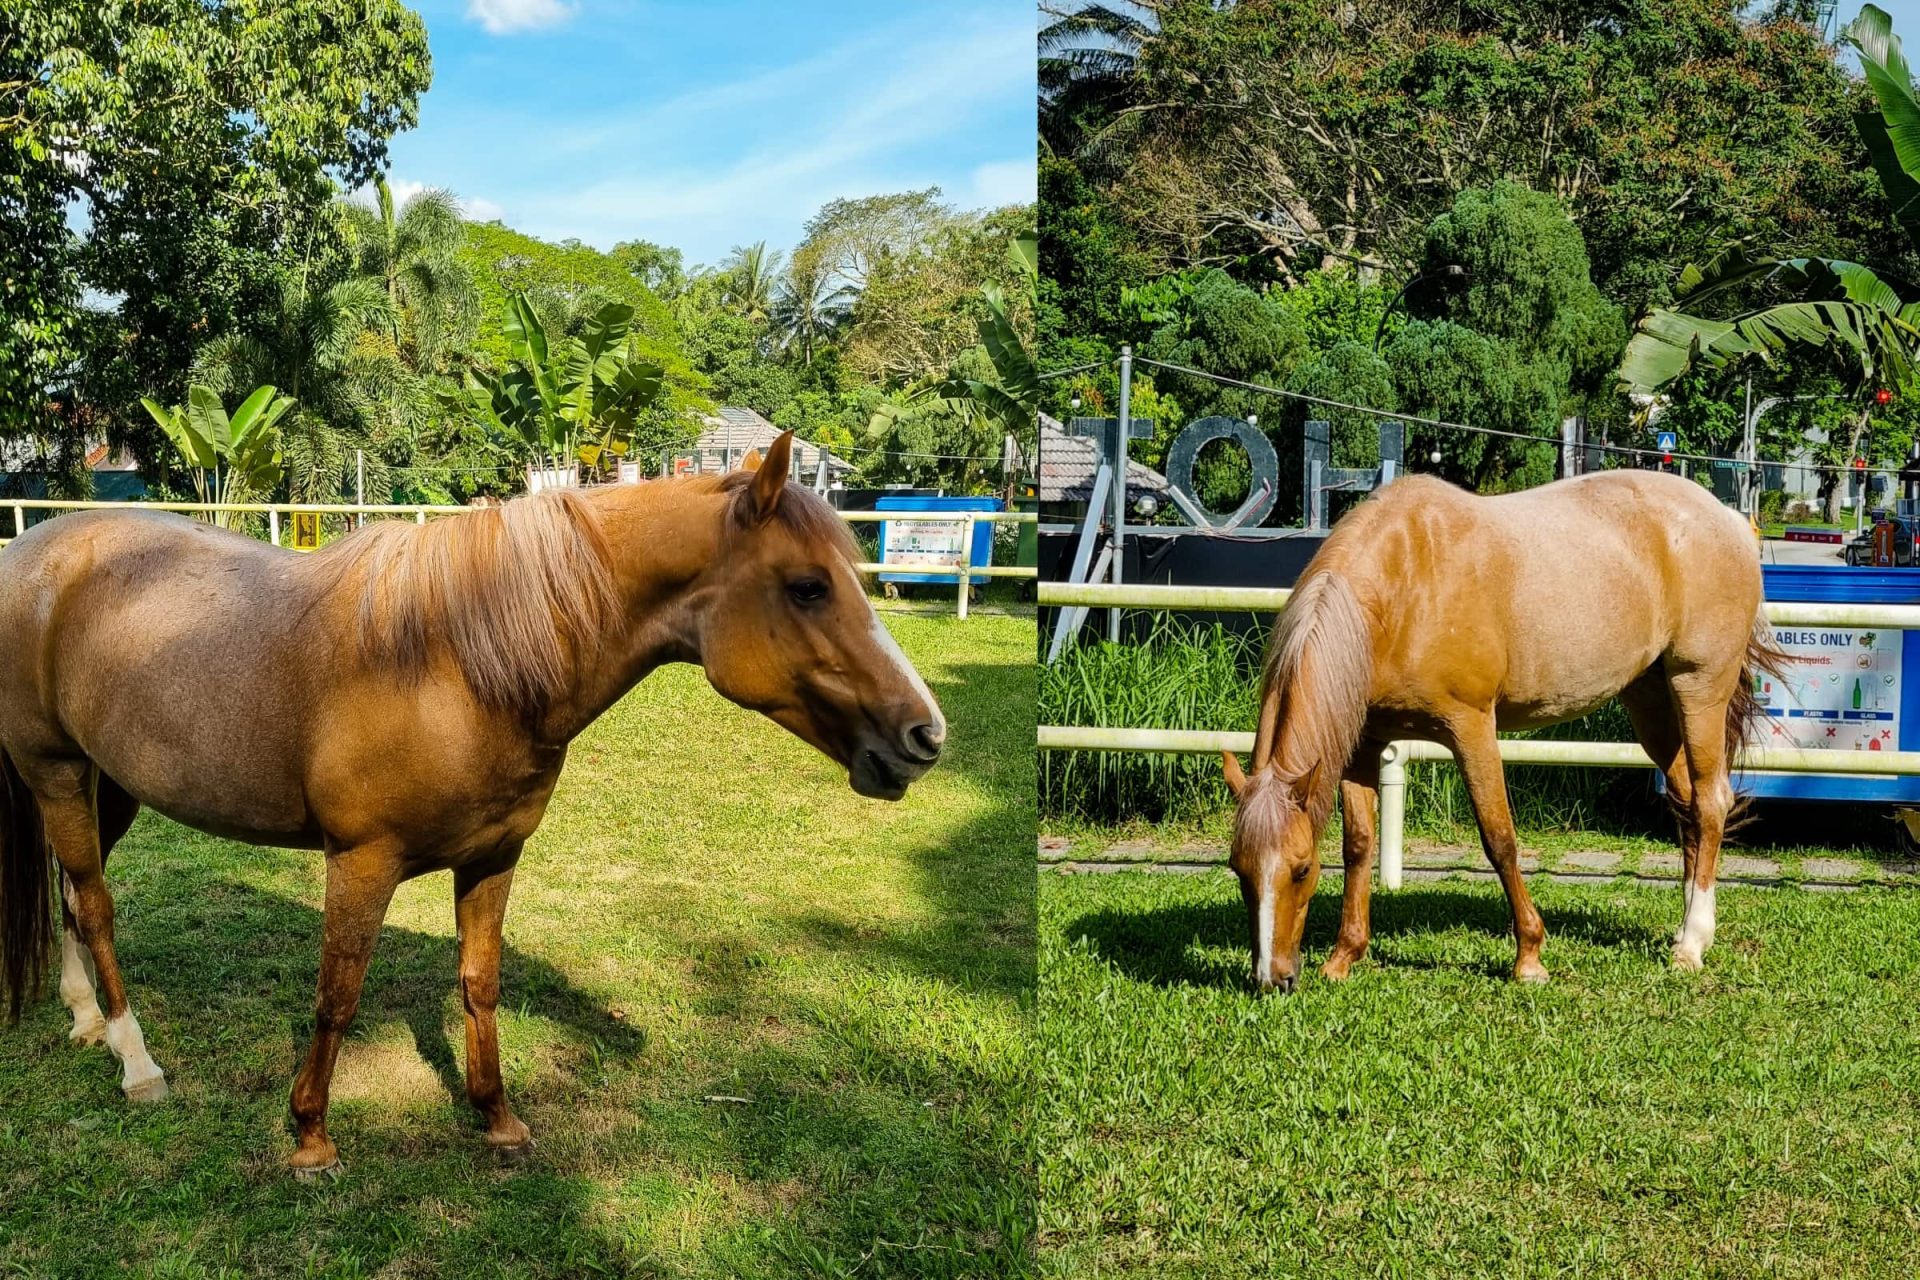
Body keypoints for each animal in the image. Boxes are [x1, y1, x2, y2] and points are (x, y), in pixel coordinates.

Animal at [0, 431, 945, 1177]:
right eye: (808, 587)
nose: (924, 736)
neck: (459, 664)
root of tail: (35, 552)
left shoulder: (494, 858)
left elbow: (479, 983)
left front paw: (497, 1118)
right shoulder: (361, 864)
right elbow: (337, 994)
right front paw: (311, 1137)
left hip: (110, 783)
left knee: (73, 895)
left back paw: (86, 1018)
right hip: (55, 771)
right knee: (95, 902)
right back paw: (135, 1059)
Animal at [1220, 469, 1788, 993]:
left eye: (1300, 870)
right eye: (1240, 871)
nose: (1272, 979)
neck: (1402, 586)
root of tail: (1730, 520)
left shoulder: (1471, 727)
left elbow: (1500, 839)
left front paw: (1529, 957)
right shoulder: (1362, 743)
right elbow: (1359, 844)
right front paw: (1344, 956)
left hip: (1698, 687)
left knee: (1711, 802)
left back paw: (1691, 944)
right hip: (1651, 700)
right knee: (1687, 804)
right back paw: (1688, 927)